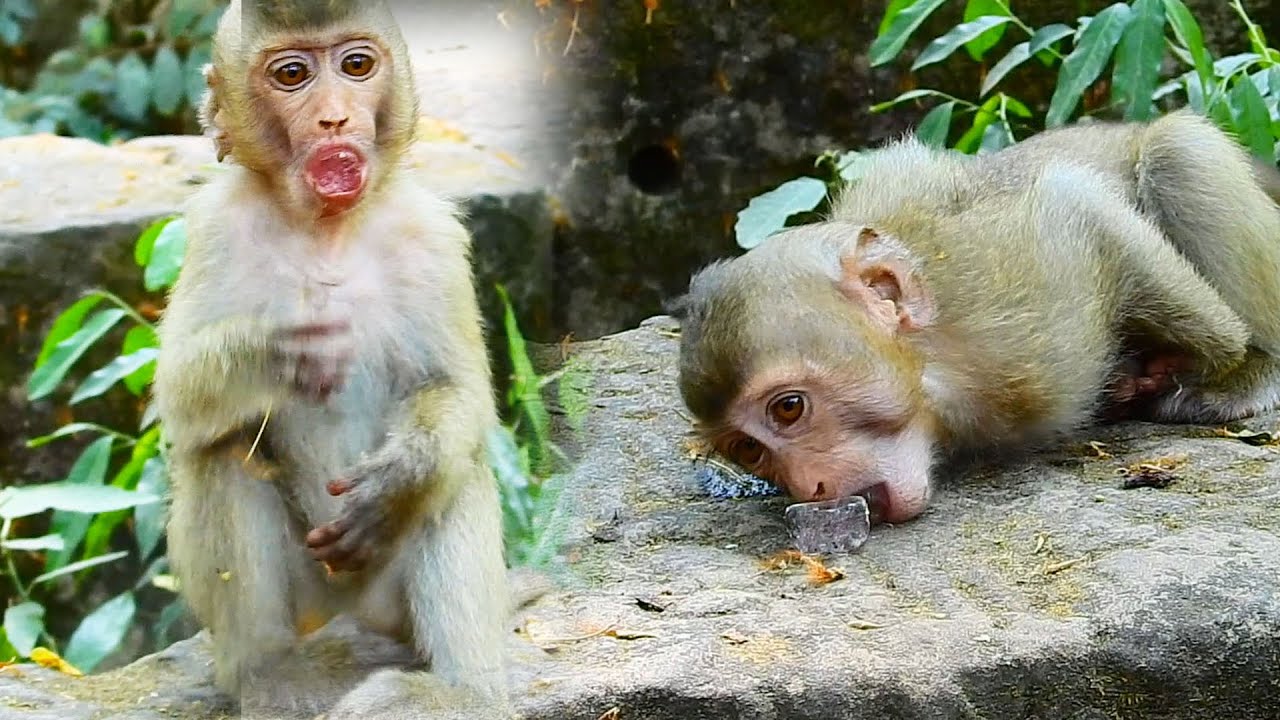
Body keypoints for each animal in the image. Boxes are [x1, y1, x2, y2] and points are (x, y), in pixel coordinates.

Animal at [152, 2, 512, 718]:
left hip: (386, 599)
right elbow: (177, 396)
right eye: (292, 75)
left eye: (356, 65)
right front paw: (276, 347)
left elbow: (456, 390)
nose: (335, 120)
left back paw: (465, 692)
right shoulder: (215, 226)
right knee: (222, 452)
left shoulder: (433, 236)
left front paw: (402, 477)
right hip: (310, 603)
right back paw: (270, 673)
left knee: (457, 473)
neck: (327, 230)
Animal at [674, 110, 1280, 525]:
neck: (935, 370)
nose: (810, 488)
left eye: (789, 409)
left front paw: (1227, 363)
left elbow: (1078, 203)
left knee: (1177, 148)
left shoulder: (1030, 333)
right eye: (748, 450)